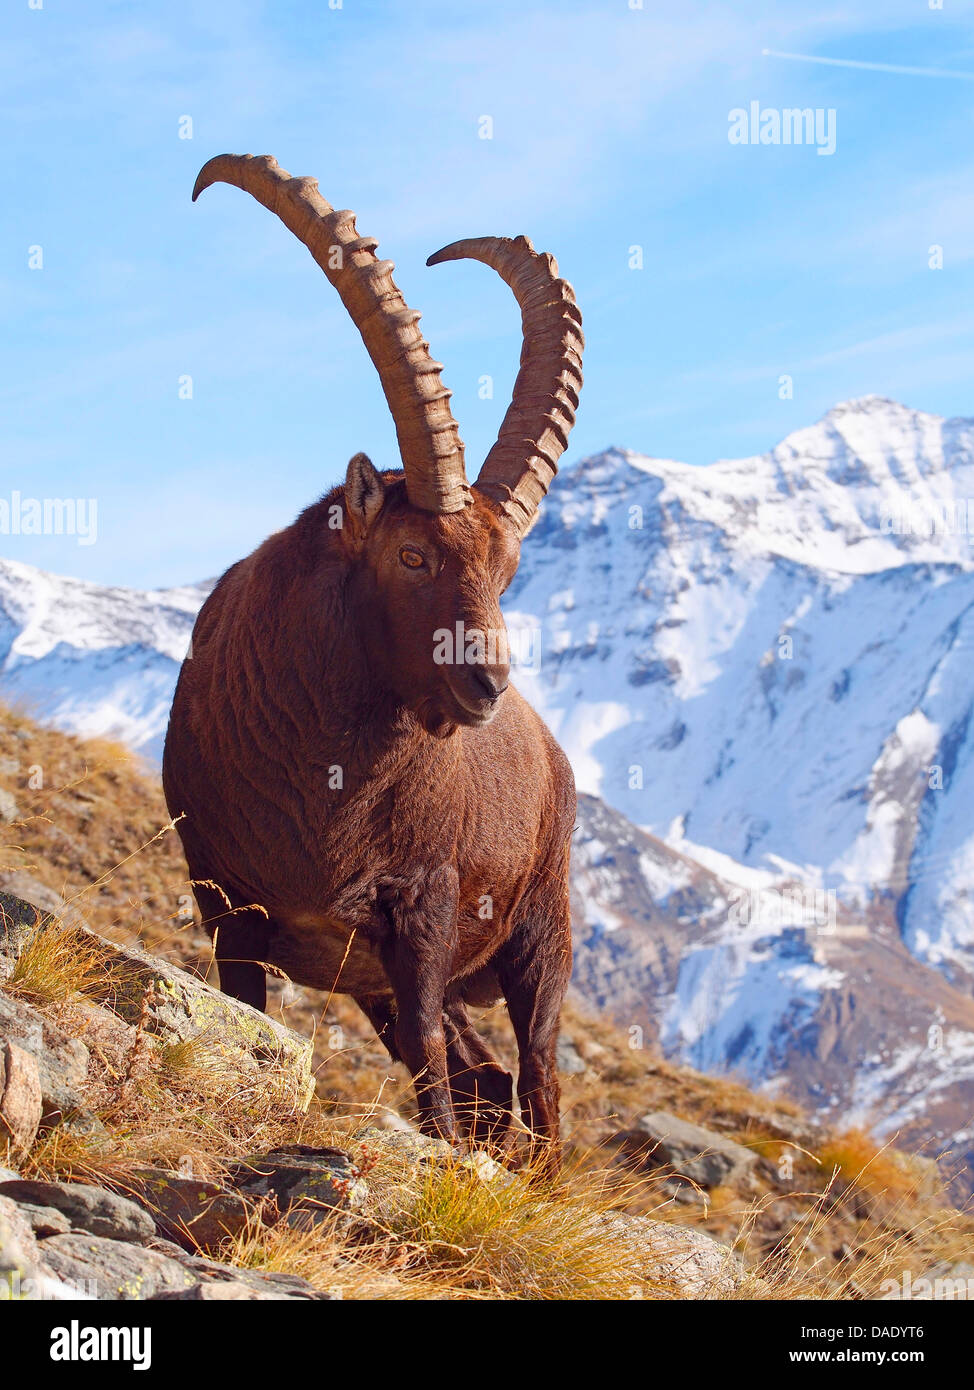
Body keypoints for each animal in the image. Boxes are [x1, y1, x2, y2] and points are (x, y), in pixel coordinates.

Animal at [163, 154, 584, 1168]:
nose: (485, 684)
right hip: (380, 984)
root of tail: (554, 756)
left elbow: (431, 1051)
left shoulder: (421, 908)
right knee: (489, 1081)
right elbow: (248, 1013)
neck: (329, 793)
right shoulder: (227, 897)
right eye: (413, 555)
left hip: (542, 929)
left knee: (537, 1076)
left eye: (508, 569)